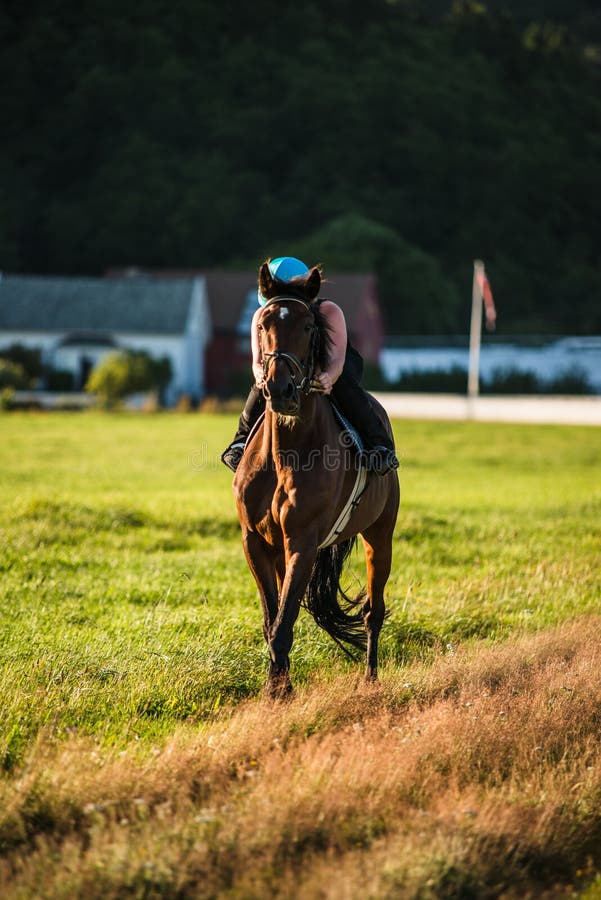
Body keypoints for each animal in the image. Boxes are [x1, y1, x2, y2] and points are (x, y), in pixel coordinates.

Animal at [233, 263, 400, 696]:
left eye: (309, 325)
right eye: (263, 324)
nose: (280, 389)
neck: (286, 451)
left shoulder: (303, 544)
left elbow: (284, 623)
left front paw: (277, 694)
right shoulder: (257, 542)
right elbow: (273, 620)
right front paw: (279, 687)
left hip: (380, 536)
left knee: (374, 612)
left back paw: (370, 678)